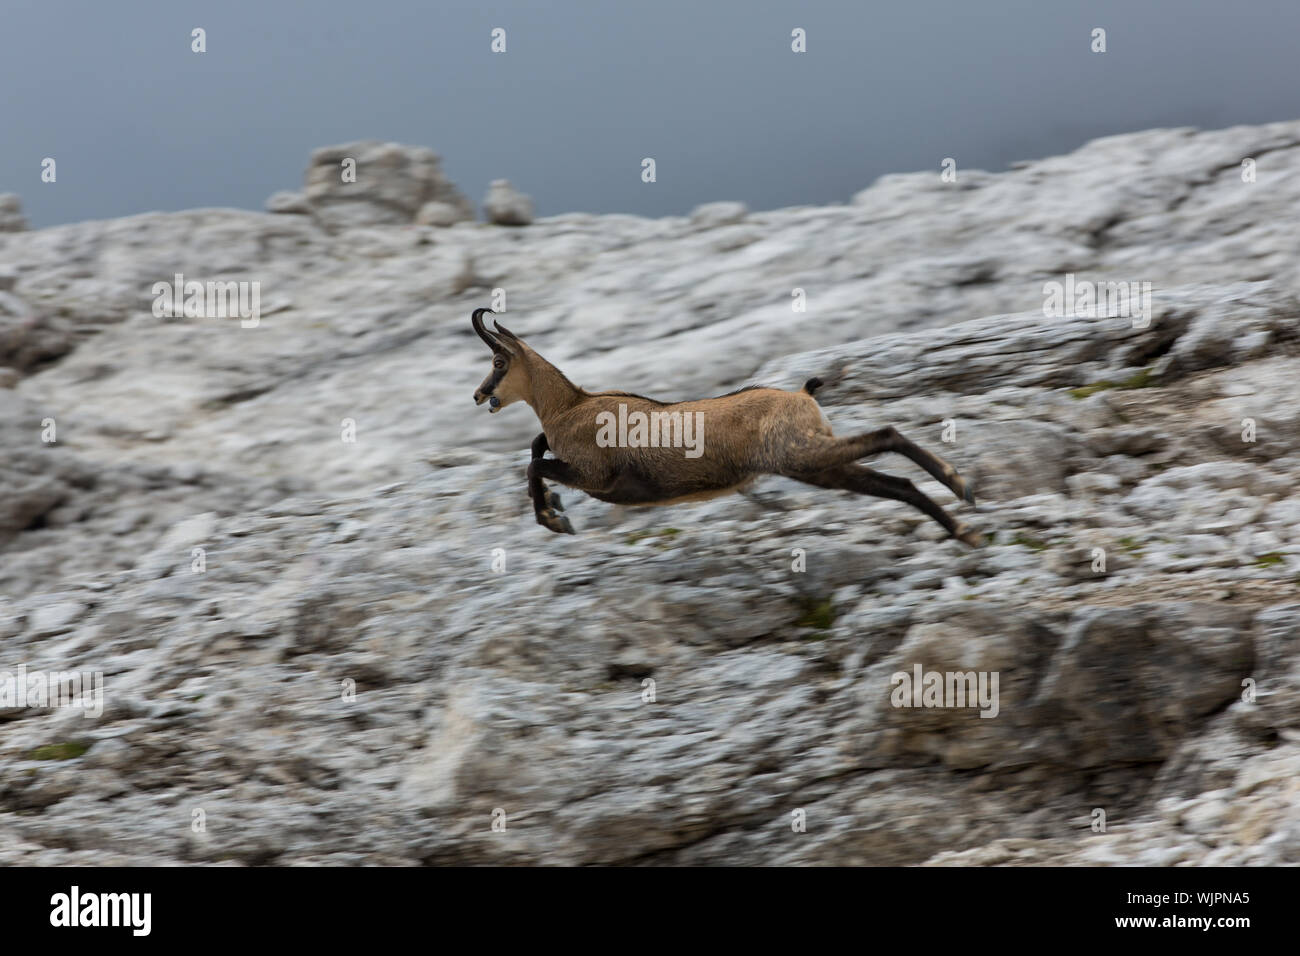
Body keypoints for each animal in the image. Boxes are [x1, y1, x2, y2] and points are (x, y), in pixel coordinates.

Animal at [471, 308, 983, 546]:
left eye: (497, 361)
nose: (478, 396)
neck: (569, 407)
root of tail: (803, 395)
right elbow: (536, 450)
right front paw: (556, 509)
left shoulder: (597, 477)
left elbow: (536, 466)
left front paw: (555, 518)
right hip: (814, 465)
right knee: (895, 483)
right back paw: (963, 528)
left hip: (801, 454)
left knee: (887, 436)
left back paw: (960, 486)